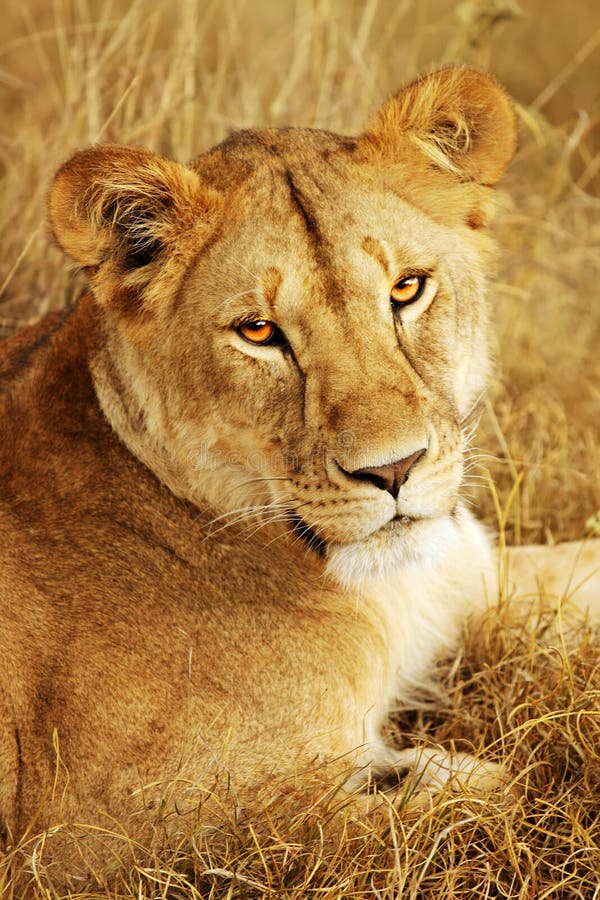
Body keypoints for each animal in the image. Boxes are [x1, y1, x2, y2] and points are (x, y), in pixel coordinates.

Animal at [1, 65, 599, 888]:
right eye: (259, 331)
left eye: (408, 289)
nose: (394, 468)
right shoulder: (91, 846)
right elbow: (491, 795)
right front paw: (439, 773)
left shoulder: (461, 570)